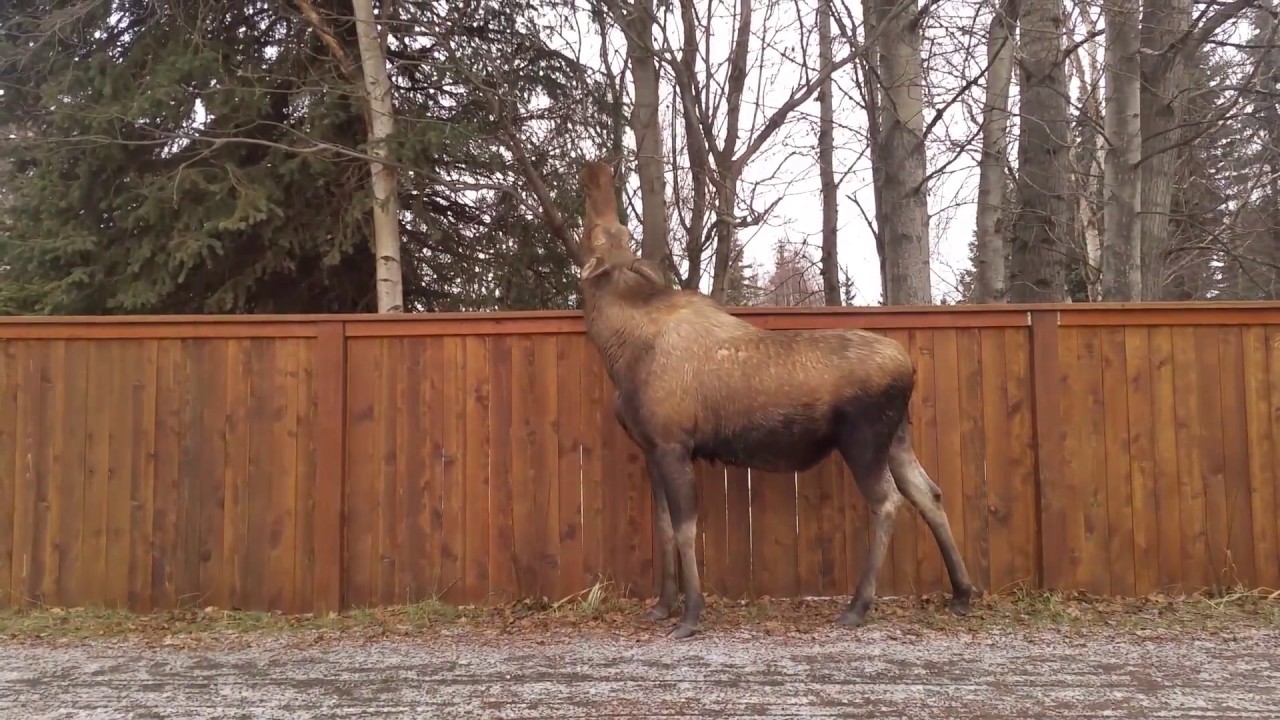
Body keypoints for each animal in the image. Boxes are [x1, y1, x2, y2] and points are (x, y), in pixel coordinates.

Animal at [571, 159, 976, 640]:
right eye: (612, 230)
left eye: (597, 231)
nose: (594, 170)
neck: (618, 348)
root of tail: (909, 368)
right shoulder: (652, 449)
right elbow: (664, 526)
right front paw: (663, 605)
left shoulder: (673, 444)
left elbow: (686, 529)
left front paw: (690, 614)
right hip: (896, 437)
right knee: (929, 493)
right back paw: (962, 593)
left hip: (863, 439)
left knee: (888, 502)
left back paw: (858, 605)